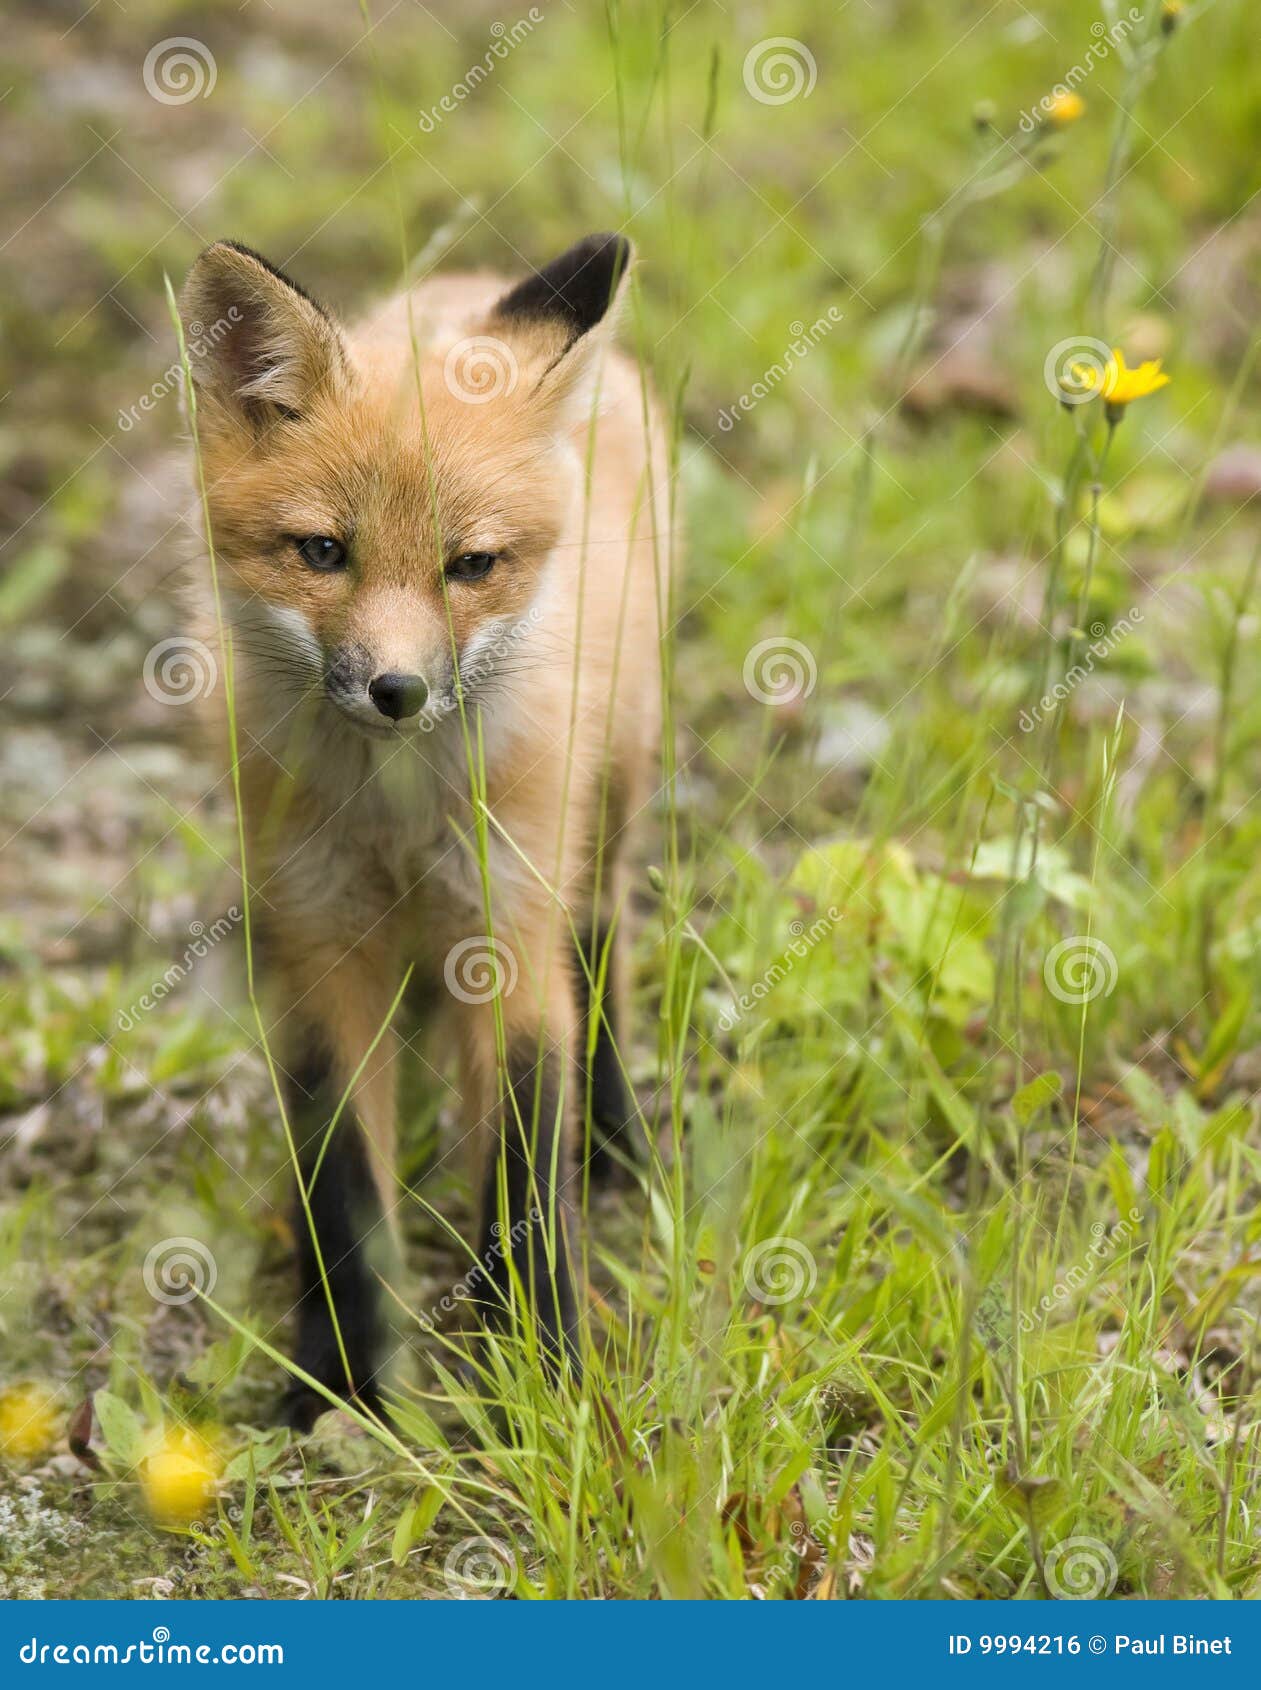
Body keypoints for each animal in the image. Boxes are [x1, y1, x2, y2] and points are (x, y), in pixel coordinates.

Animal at [177, 232, 669, 1428]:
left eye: (471, 565)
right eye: (322, 552)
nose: (396, 691)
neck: (395, 817)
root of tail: (470, 282)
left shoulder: (507, 939)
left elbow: (525, 1173)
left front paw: (544, 1375)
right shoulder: (316, 950)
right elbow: (343, 1194)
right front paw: (340, 1389)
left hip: (608, 811)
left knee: (602, 945)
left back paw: (614, 1142)